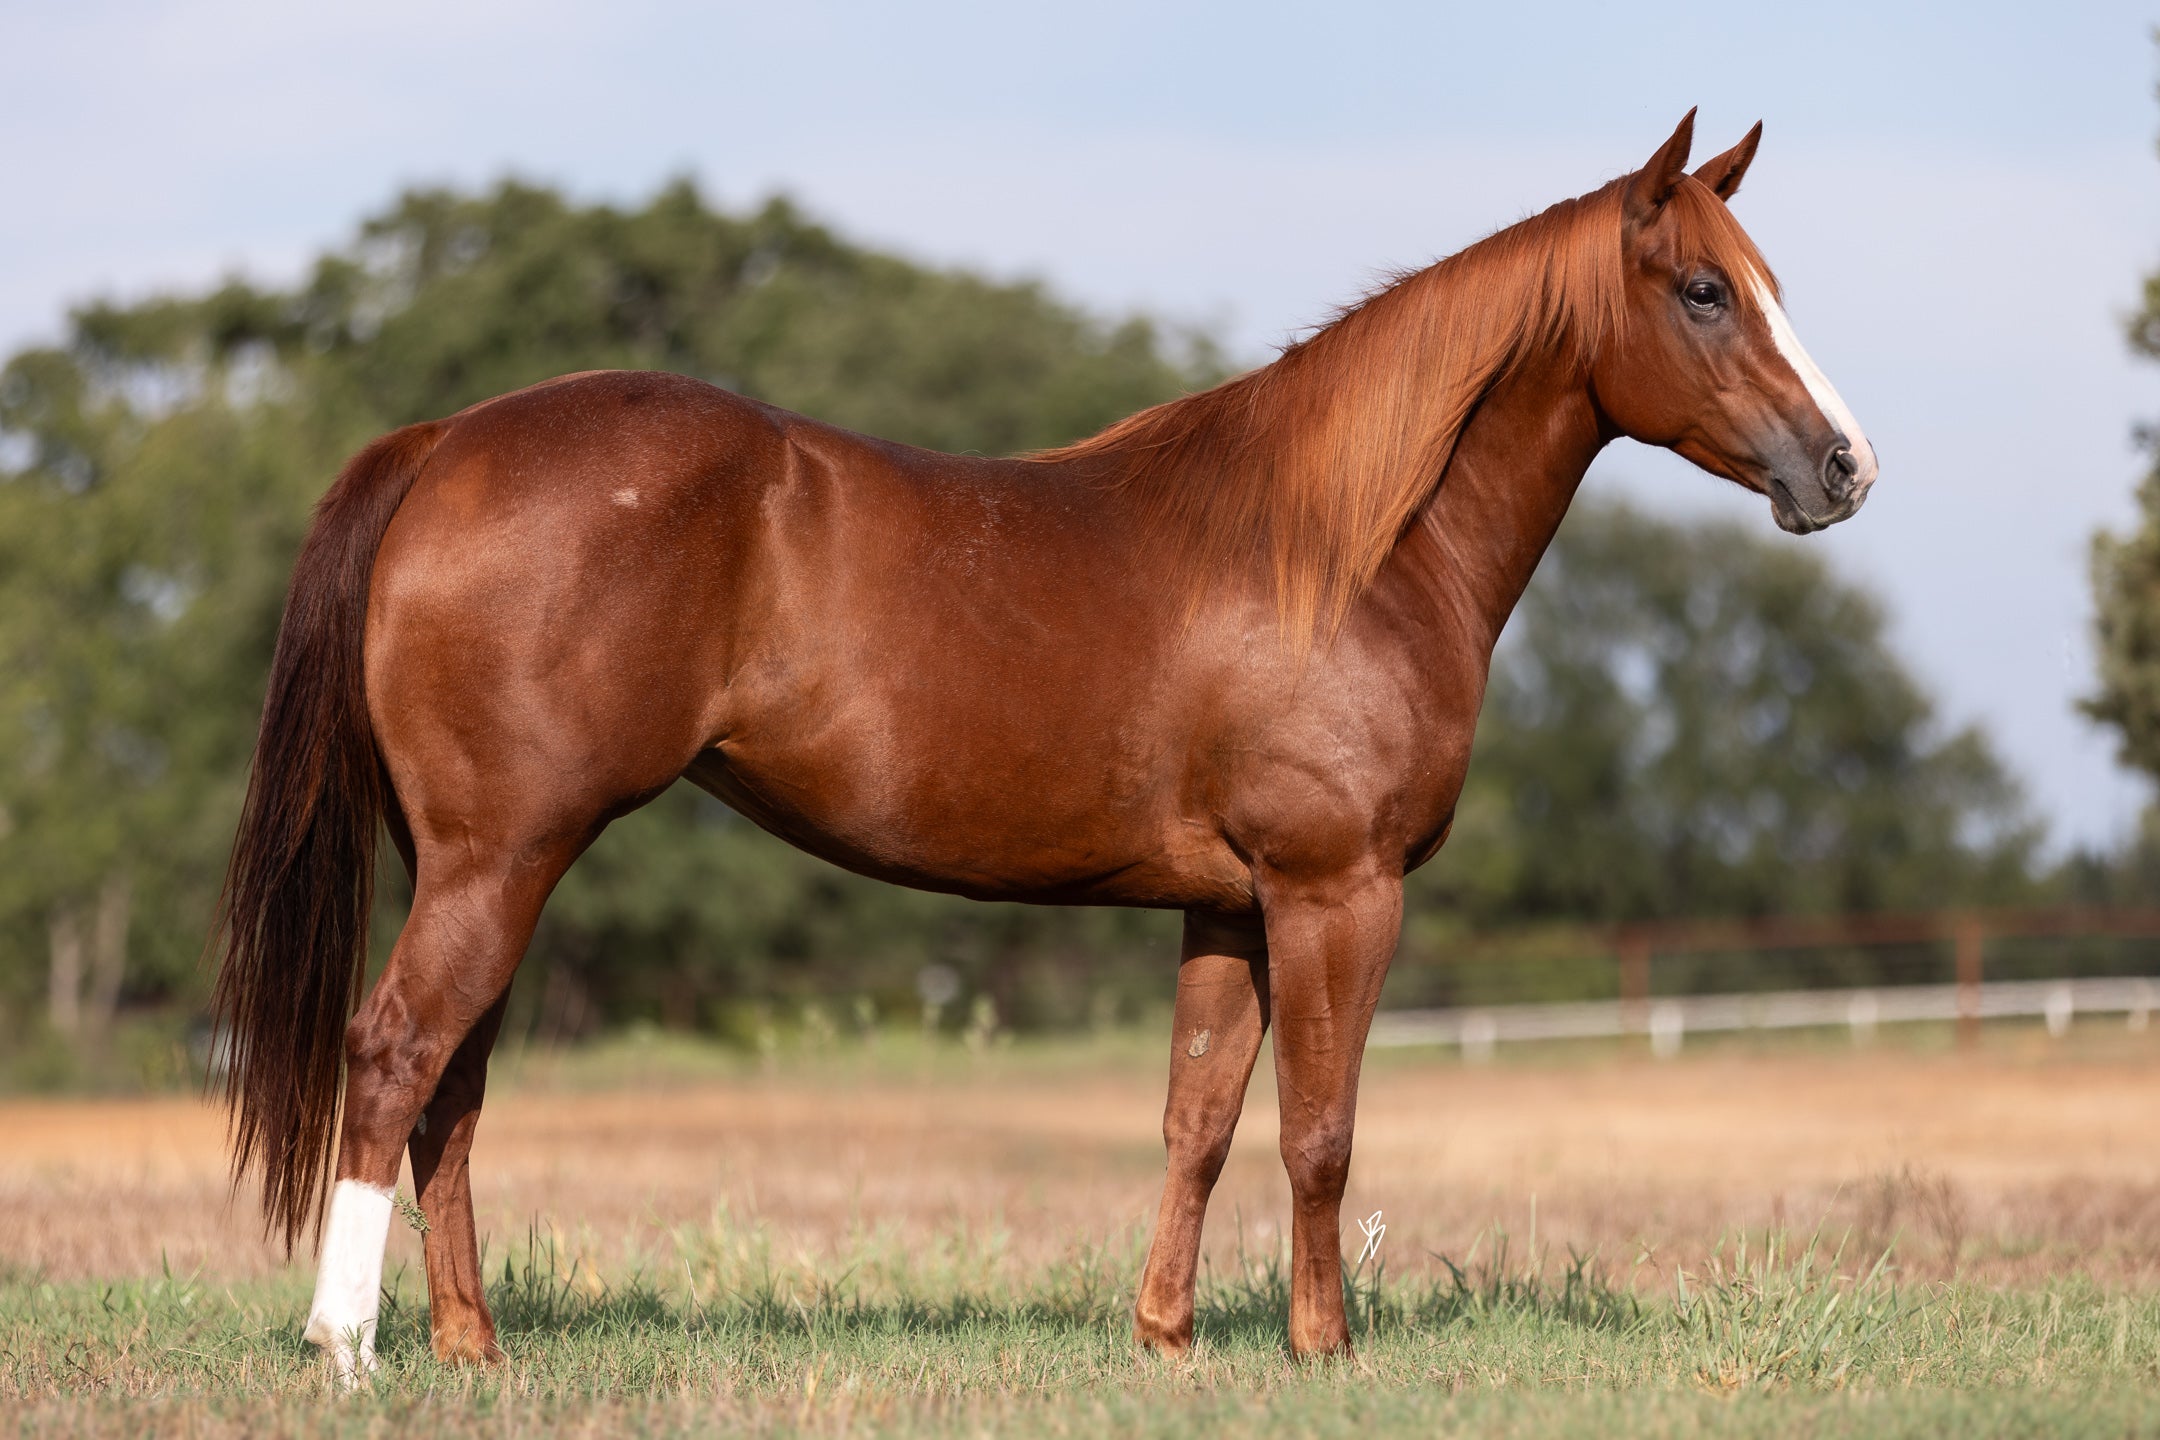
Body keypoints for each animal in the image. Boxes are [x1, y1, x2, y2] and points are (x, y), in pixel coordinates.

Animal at [211, 109, 1875, 1382]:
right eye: (1703, 292)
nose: (1844, 467)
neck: (1344, 549)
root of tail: (445, 443)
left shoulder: (1229, 906)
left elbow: (1199, 1123)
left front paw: (1169, 1341)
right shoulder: (1336, 891)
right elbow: (1320, 1130)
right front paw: (1324, 1349)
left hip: (483, 864)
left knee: (454, 1088)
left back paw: (476, 1351)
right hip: (501, 858)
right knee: (395, 1055)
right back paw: (348, 1349)